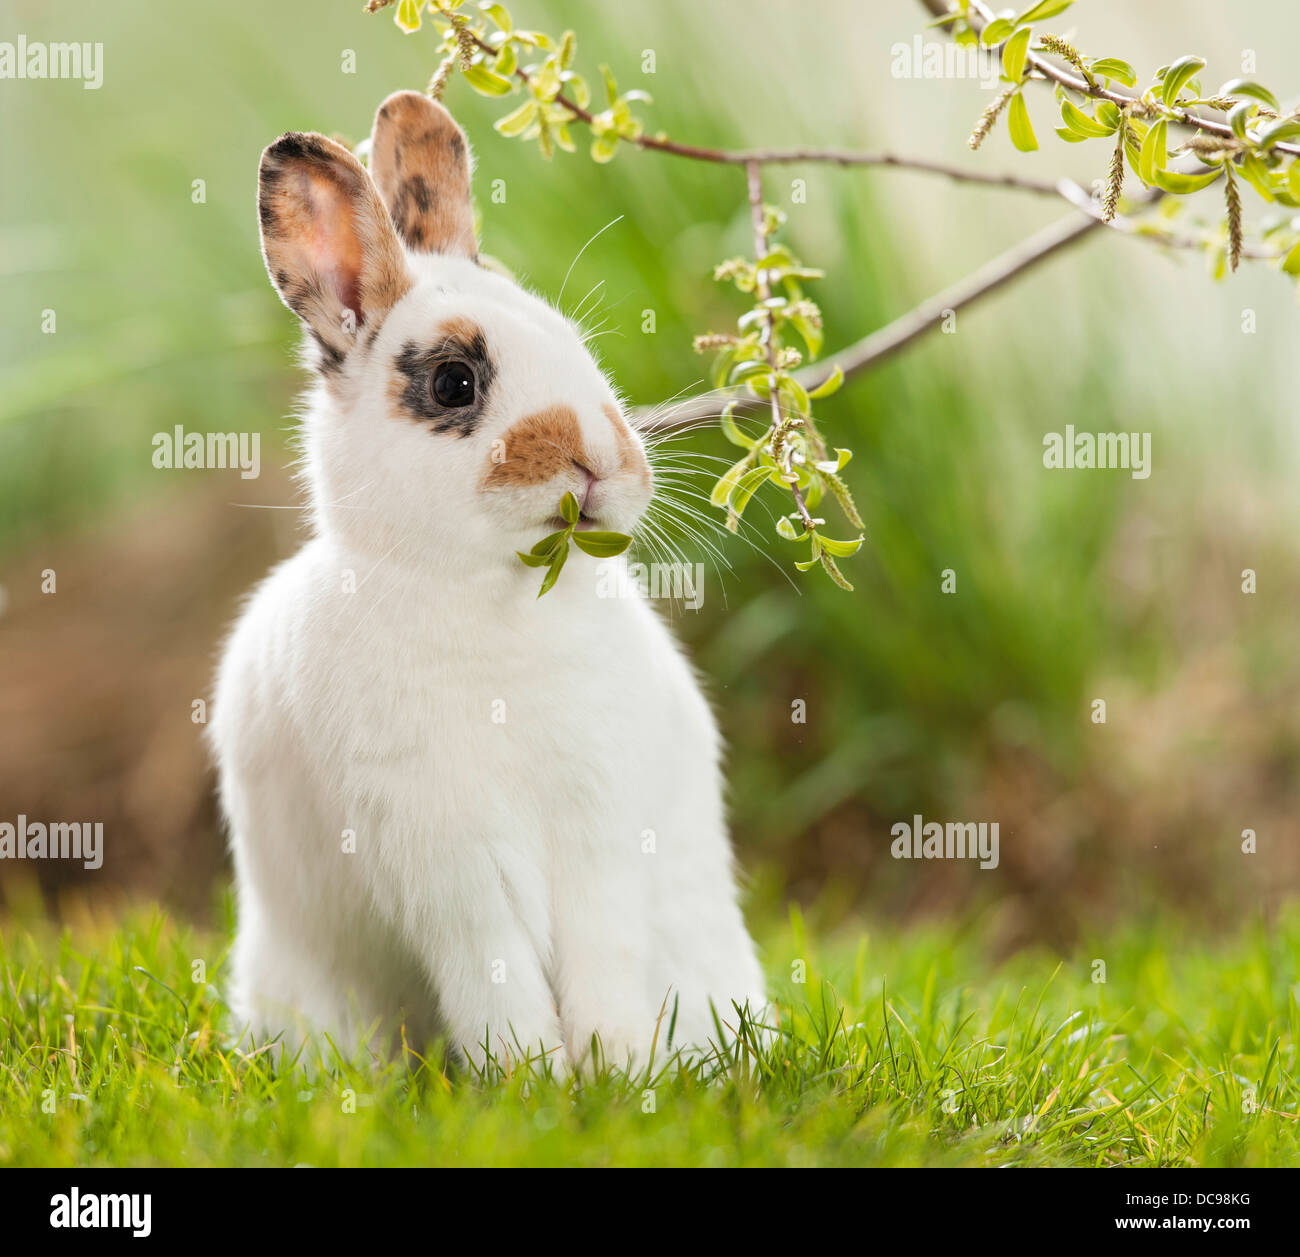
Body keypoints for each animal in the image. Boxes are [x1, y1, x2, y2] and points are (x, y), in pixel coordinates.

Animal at [209, 91, 766, 1074]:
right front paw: (529, 1076)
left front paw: (619, 1070)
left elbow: (602, 959)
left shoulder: (601, 834)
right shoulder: (444, 862)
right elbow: (493, 973)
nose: (602, 458)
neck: (490, 599)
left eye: (575, 345)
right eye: (454, 382)